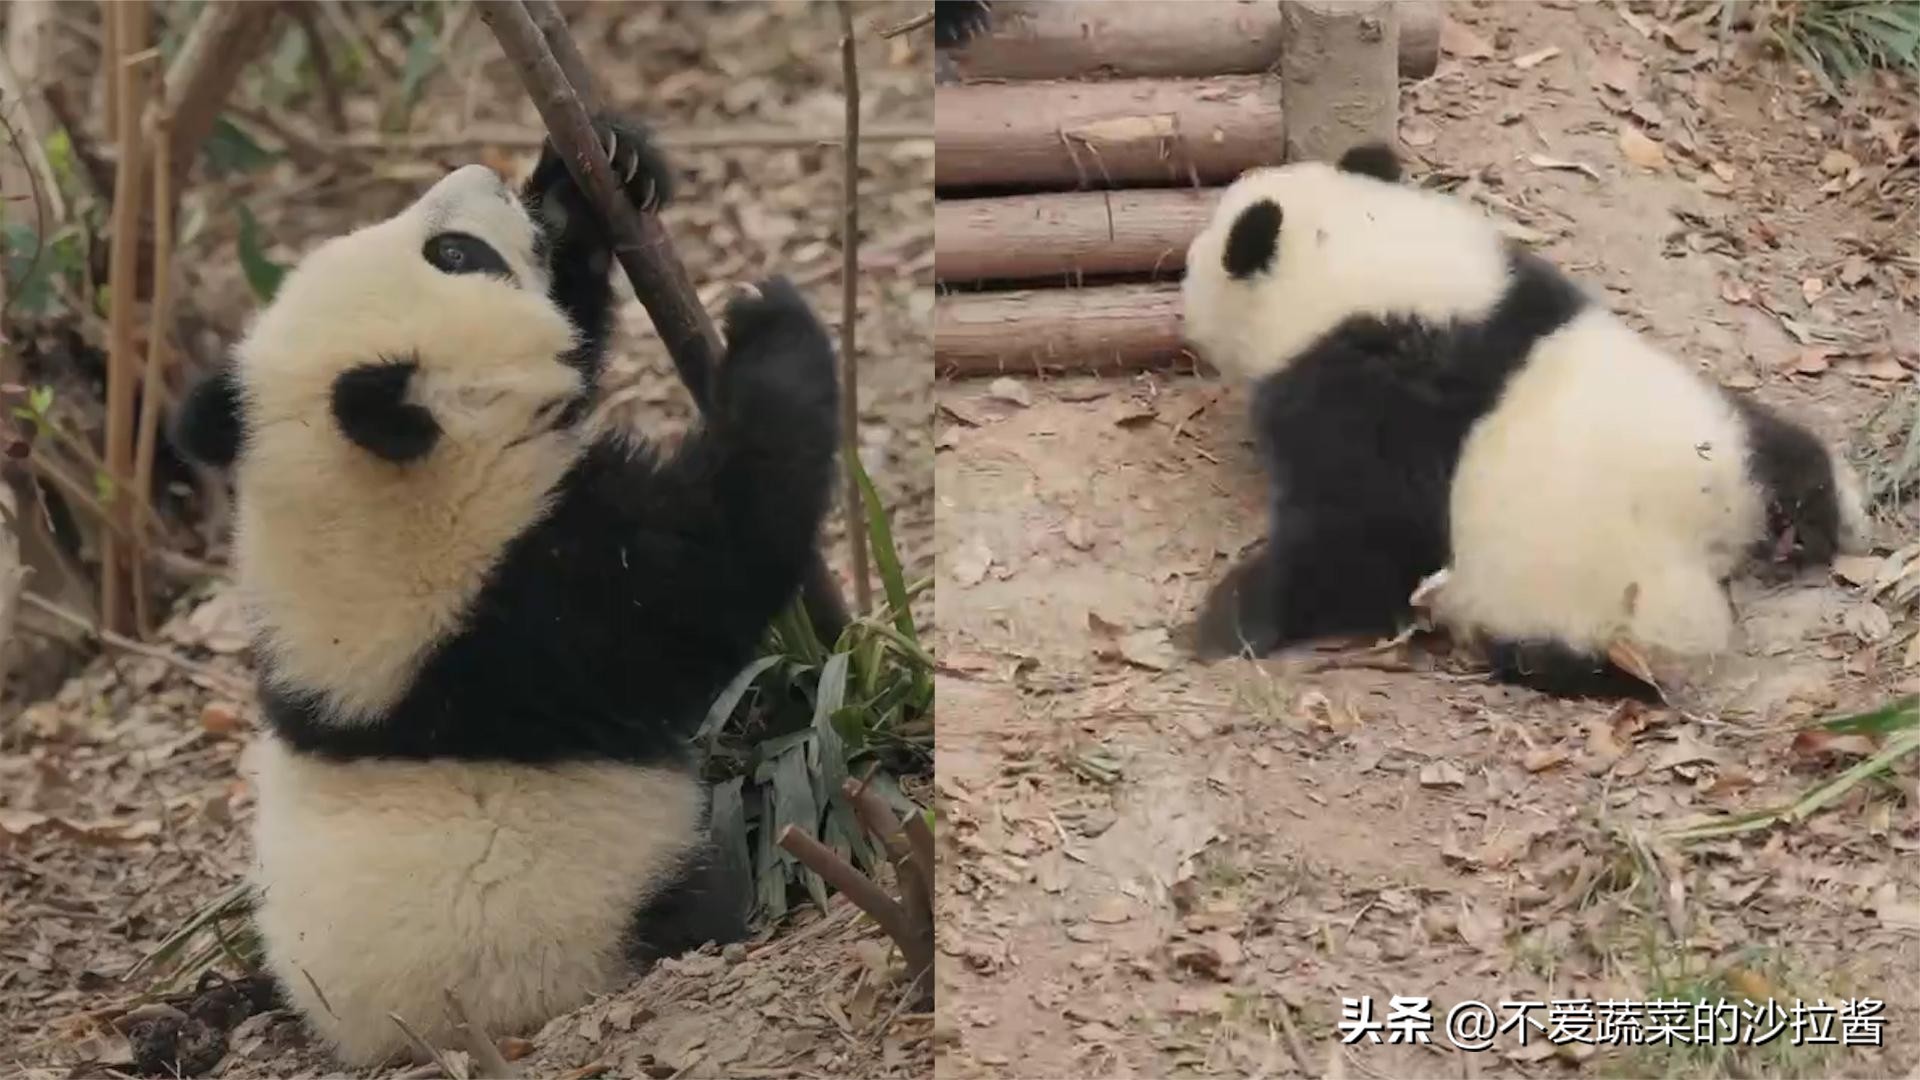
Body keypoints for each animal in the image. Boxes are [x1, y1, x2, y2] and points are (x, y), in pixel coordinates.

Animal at [169, 117, 840, 1065]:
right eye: (455, 255)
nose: (477, 172)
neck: (353, 513)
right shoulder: (527, 606)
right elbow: (718, 559)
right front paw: (770, 328)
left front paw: (589, 177)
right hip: (597, 916)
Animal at [1181, 142, 1870, 699]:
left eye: (1194, 259)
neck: (1366, 264)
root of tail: (1714, 554)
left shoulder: (1364, 396)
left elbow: (1364, 533)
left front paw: (1226, 619)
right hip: (1730, 436)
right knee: (1797, 462)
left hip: (1582, 605)